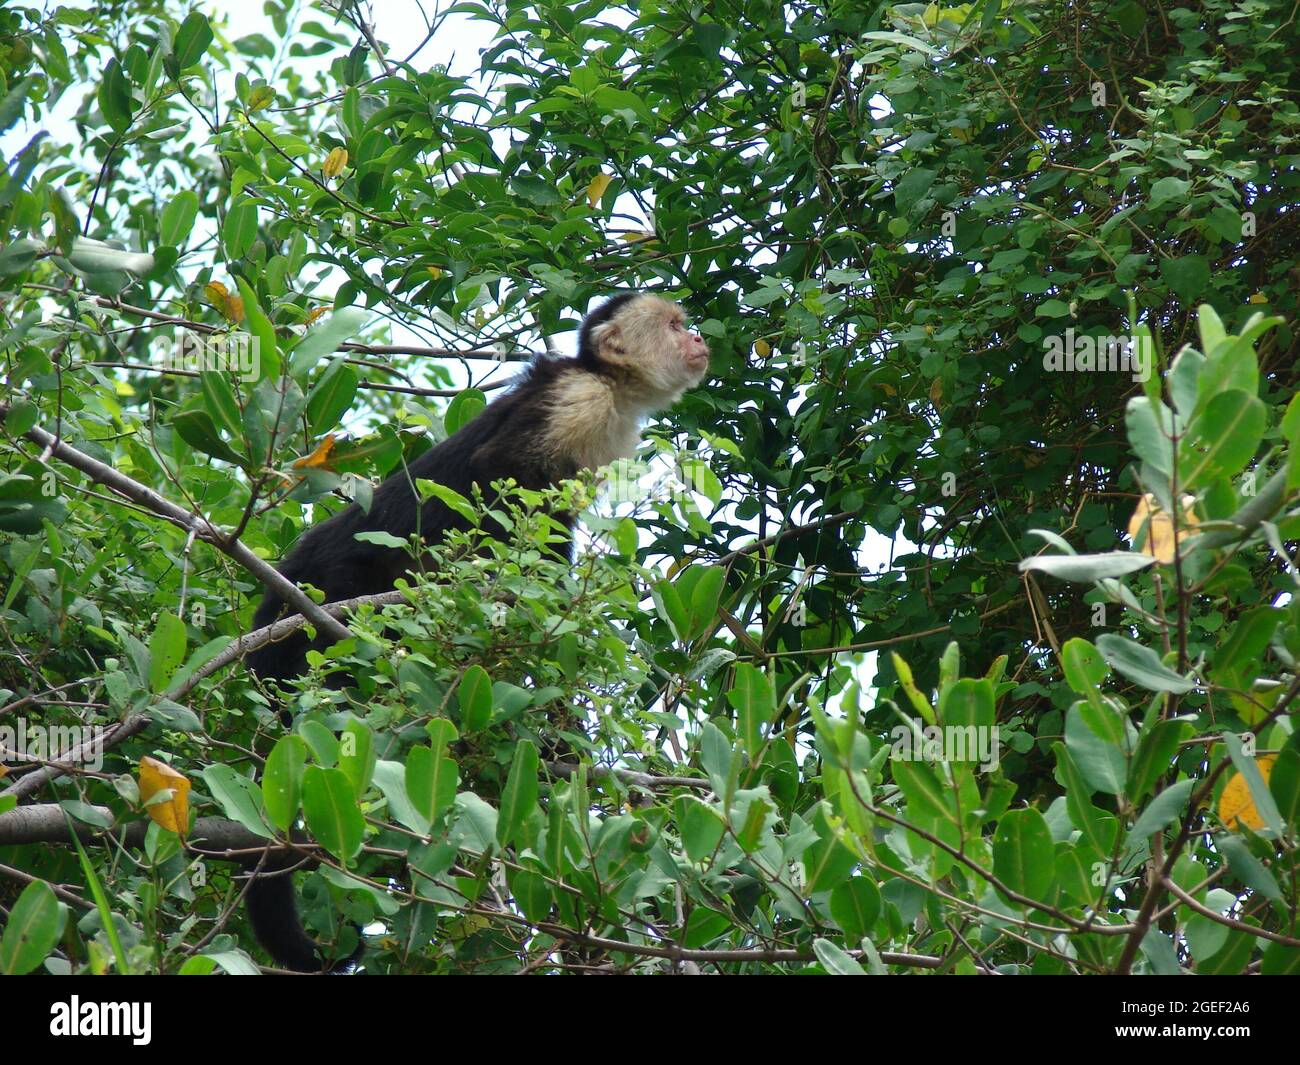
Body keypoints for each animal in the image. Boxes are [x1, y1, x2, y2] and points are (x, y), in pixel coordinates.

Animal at [241, 292, 709, 971]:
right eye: (674, 325)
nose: (698, 338)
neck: (608, 382)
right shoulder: (578, 401)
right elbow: (503, 484)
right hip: (334, 591)